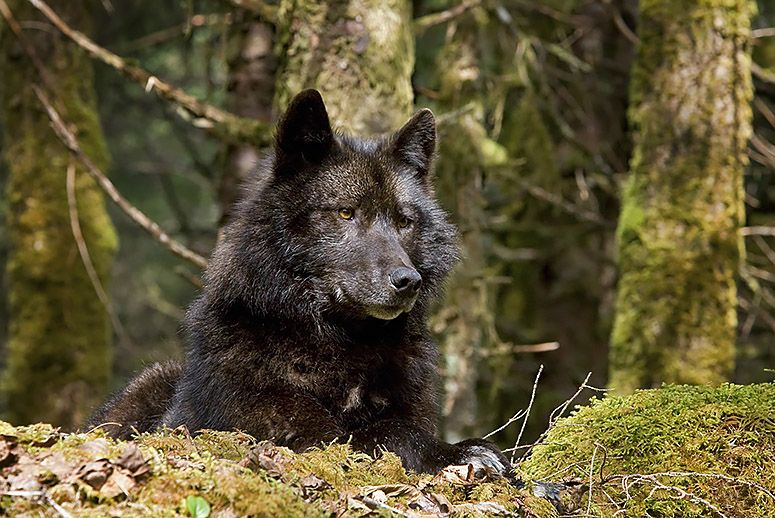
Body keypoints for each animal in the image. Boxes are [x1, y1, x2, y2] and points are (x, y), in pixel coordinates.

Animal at [89, 89, 510, 476]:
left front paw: (466, 450)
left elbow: (403, 425)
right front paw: (449, 453)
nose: (409, 280)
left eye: (404, 221)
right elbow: (385, 434)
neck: (341, 346)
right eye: (345, 213)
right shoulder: (297, 435)